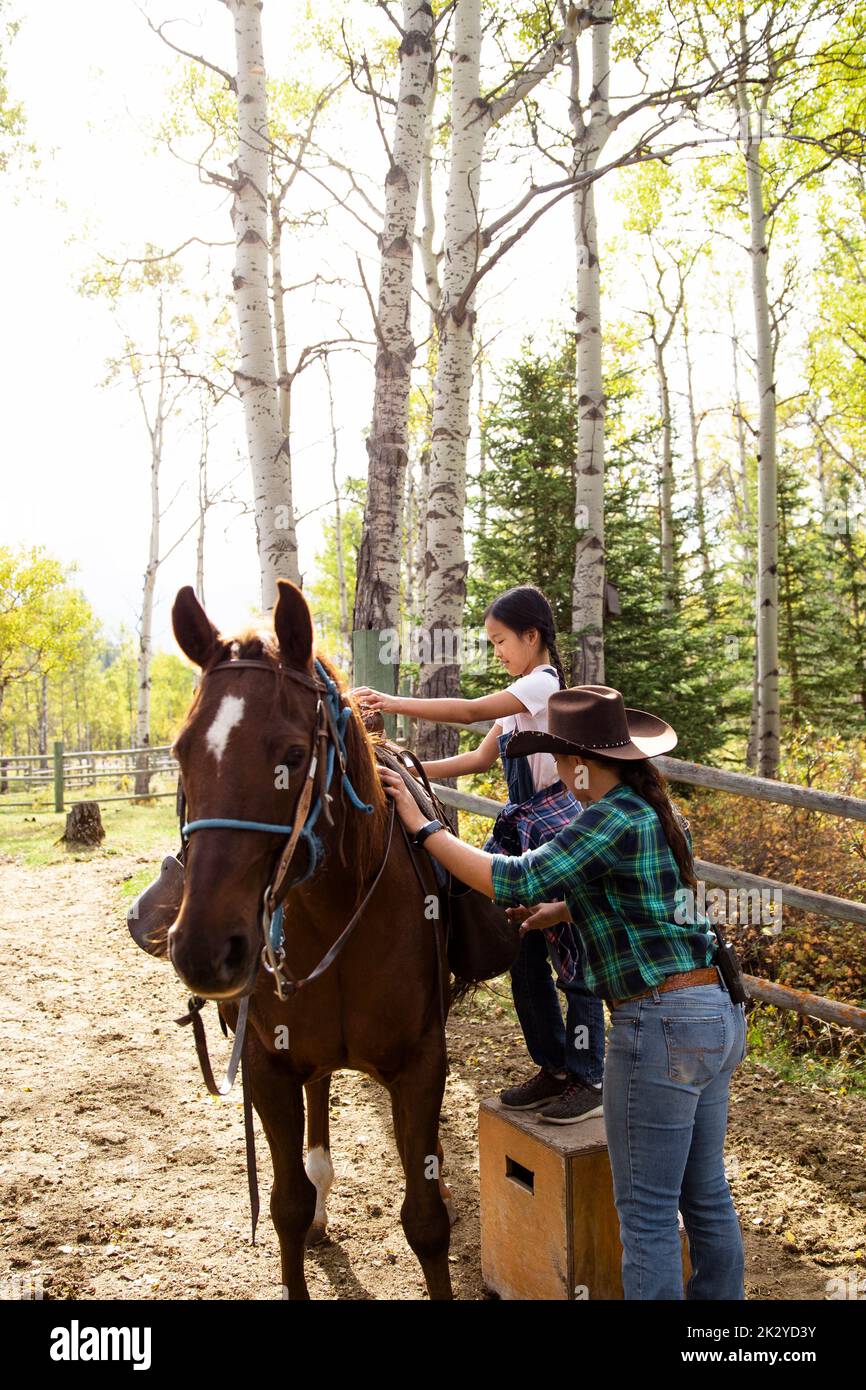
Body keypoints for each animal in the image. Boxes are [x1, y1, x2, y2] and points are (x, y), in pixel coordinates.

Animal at [156, 579, 454, 1300]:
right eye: (181, 753)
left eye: (293, 756)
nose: (204, 948)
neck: (335, 915)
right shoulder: (269, 1067)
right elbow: (286, 1205)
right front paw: (306, 1213)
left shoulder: (422, 1065)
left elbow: (426, 1220)